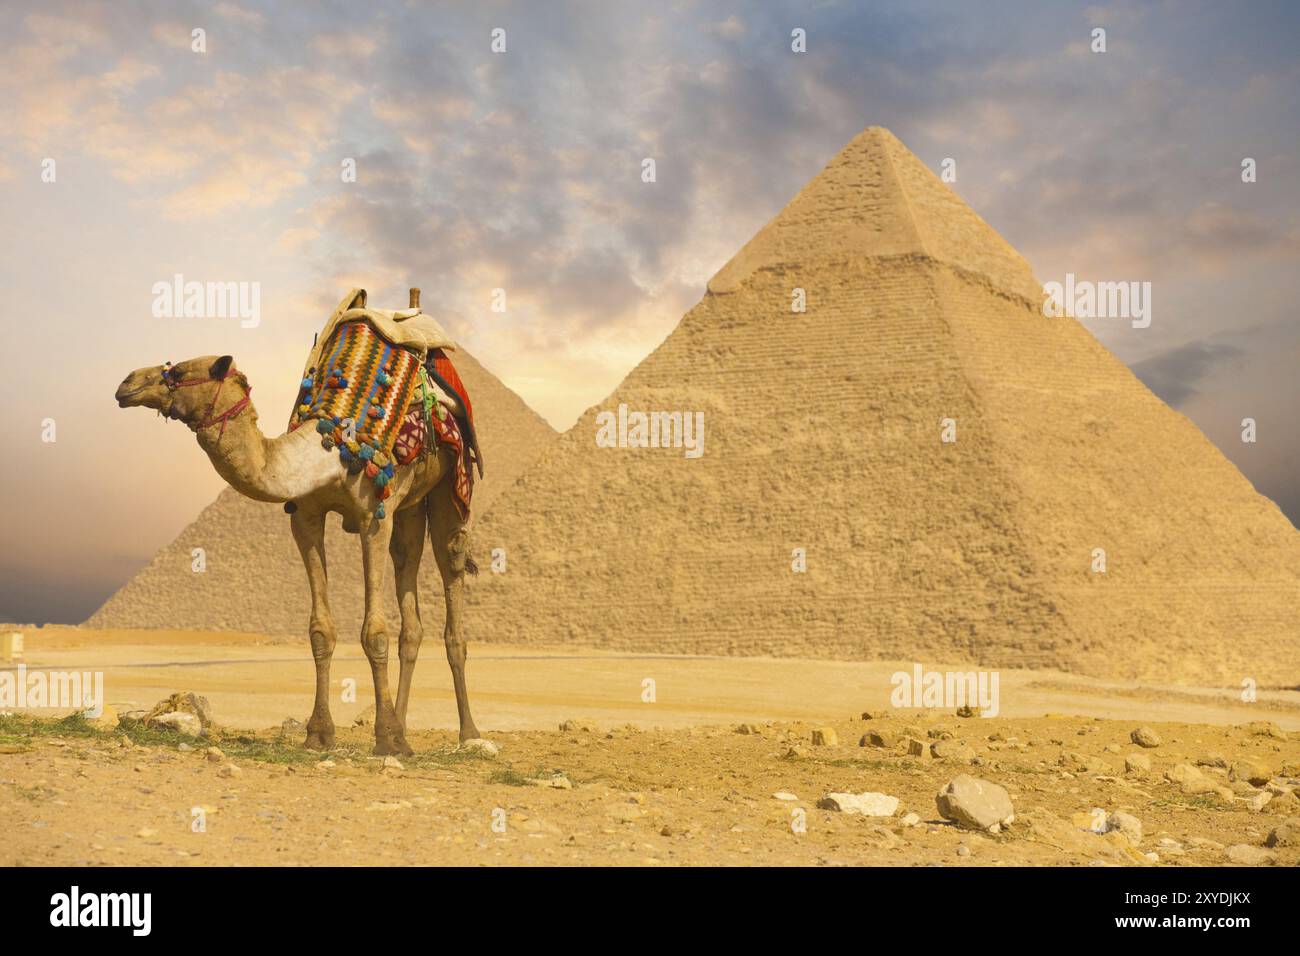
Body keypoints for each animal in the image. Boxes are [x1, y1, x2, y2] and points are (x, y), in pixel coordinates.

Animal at [114, 324, 482, 757]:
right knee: (409, 586)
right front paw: (320, 733)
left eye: (181, 371)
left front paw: (386, 737)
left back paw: (468, 733)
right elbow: (320, 630)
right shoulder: (306, 517)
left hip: (449, 488)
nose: (127, 383)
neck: (332, 448)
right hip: (409, 507)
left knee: (450, 569)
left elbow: (374, 632)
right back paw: (406, 730)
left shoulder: (374, 517)